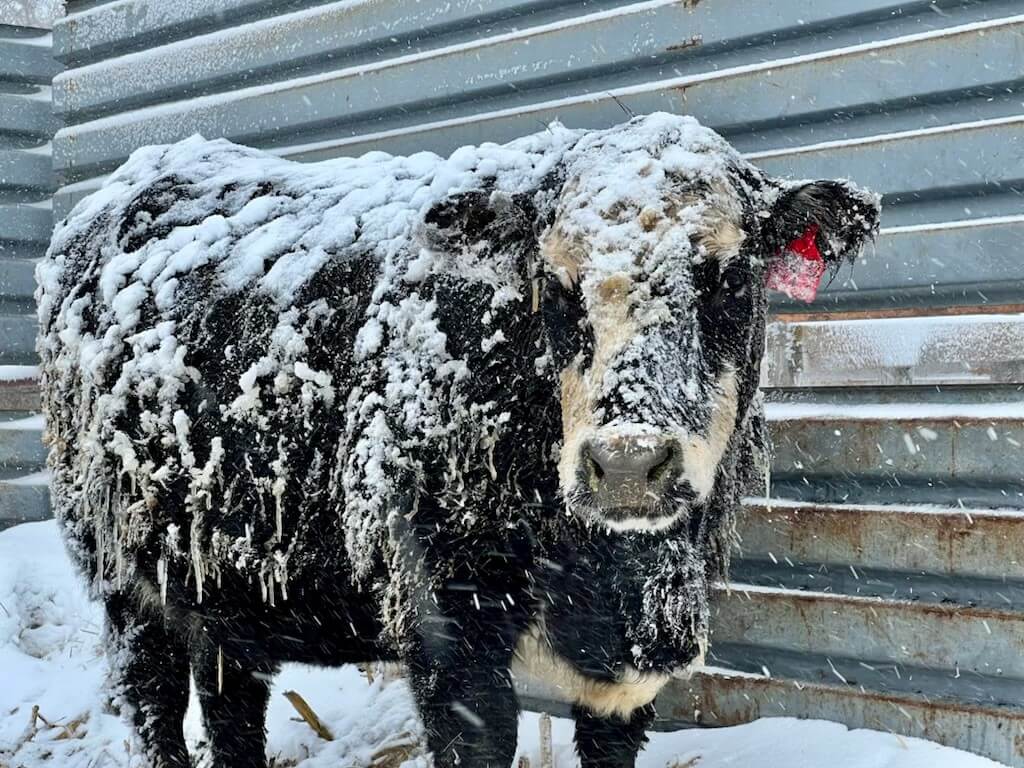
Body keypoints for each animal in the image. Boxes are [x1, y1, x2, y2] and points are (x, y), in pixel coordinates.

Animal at [37, 113, 879, 768]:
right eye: (555, 284)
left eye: (731, 279)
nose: (627, 465)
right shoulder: (448, 629)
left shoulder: (631, 655)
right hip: (122, 577)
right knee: (154, 704)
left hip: (219, 582)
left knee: (231, 705)